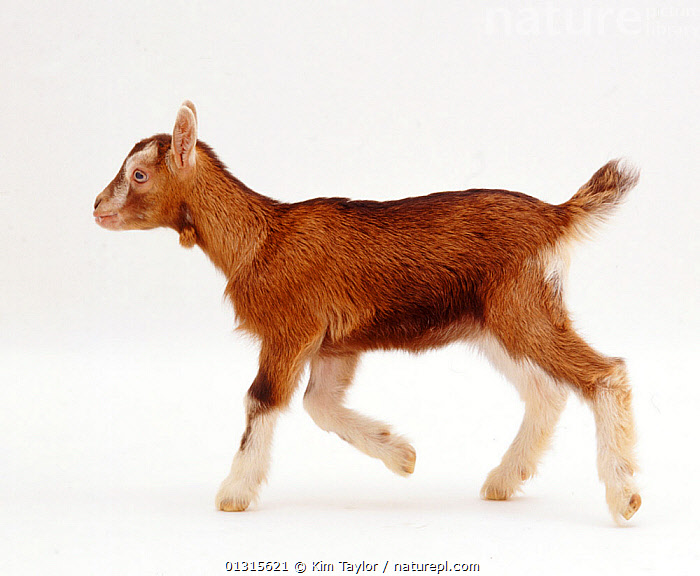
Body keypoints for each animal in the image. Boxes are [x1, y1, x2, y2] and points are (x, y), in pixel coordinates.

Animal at [94, 101, 641, 522]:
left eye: (139, 175)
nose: (97, 207)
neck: (261, 239)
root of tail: (557, 215)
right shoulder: (334, 344)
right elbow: (319, 404)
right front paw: (401, 455)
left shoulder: (291, 330)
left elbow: (263, 400)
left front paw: (234, 493)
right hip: (496, 321)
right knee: (546, 392)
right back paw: (504, 480)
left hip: (522, 309)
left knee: (604, 373)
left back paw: (623, 496)